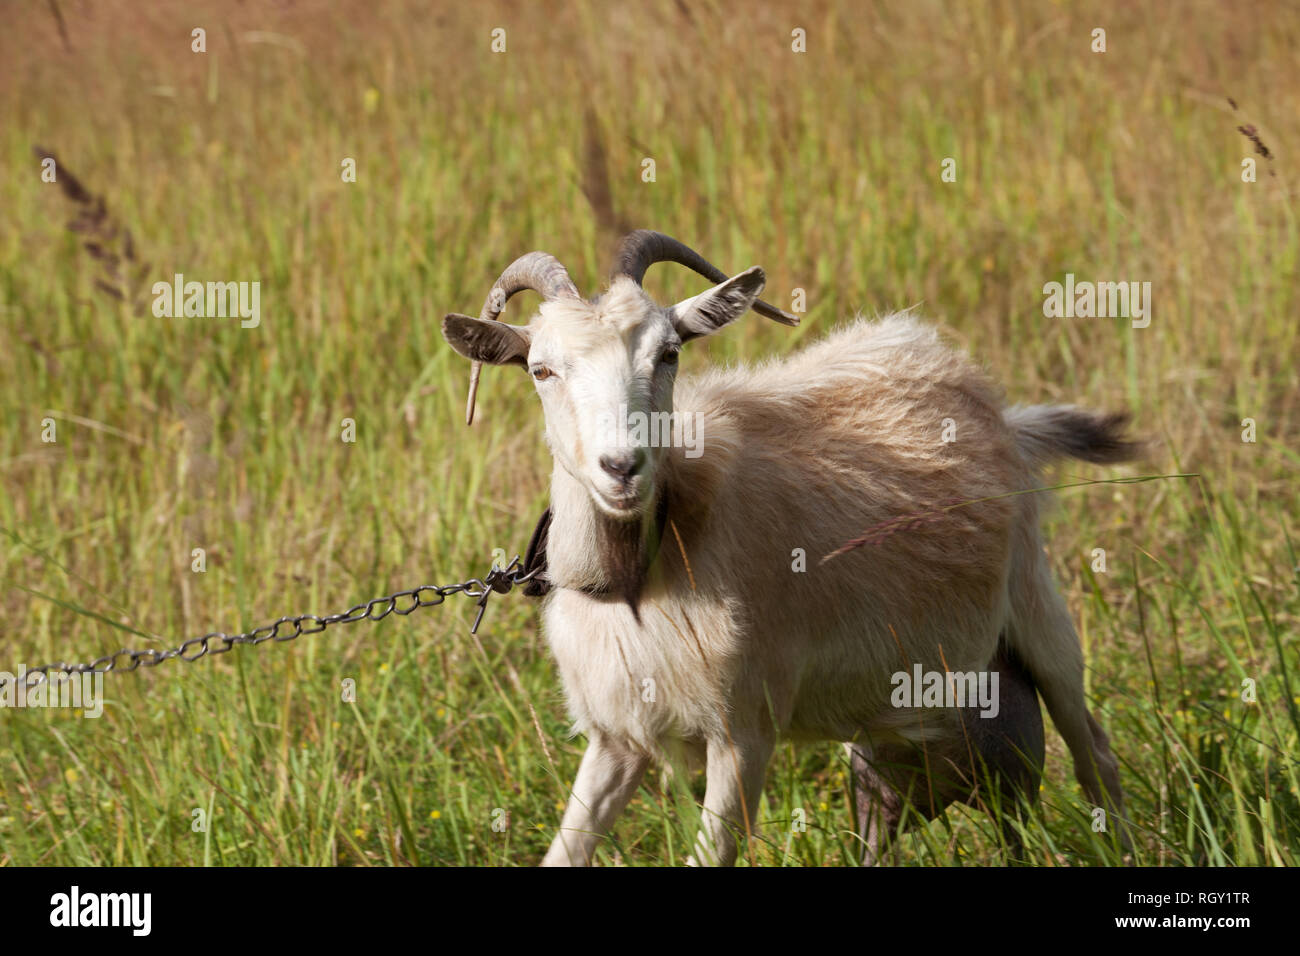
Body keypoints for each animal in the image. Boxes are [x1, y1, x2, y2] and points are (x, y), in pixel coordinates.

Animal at [441, 230, 1135, 866]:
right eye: (541, 370)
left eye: (669, 353)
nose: (622, 468)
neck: (642, 577)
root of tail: (1001, 413)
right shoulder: (616, 737)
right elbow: (566, 851)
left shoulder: (744, 731)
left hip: (1038, 607)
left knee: (1095, 753)